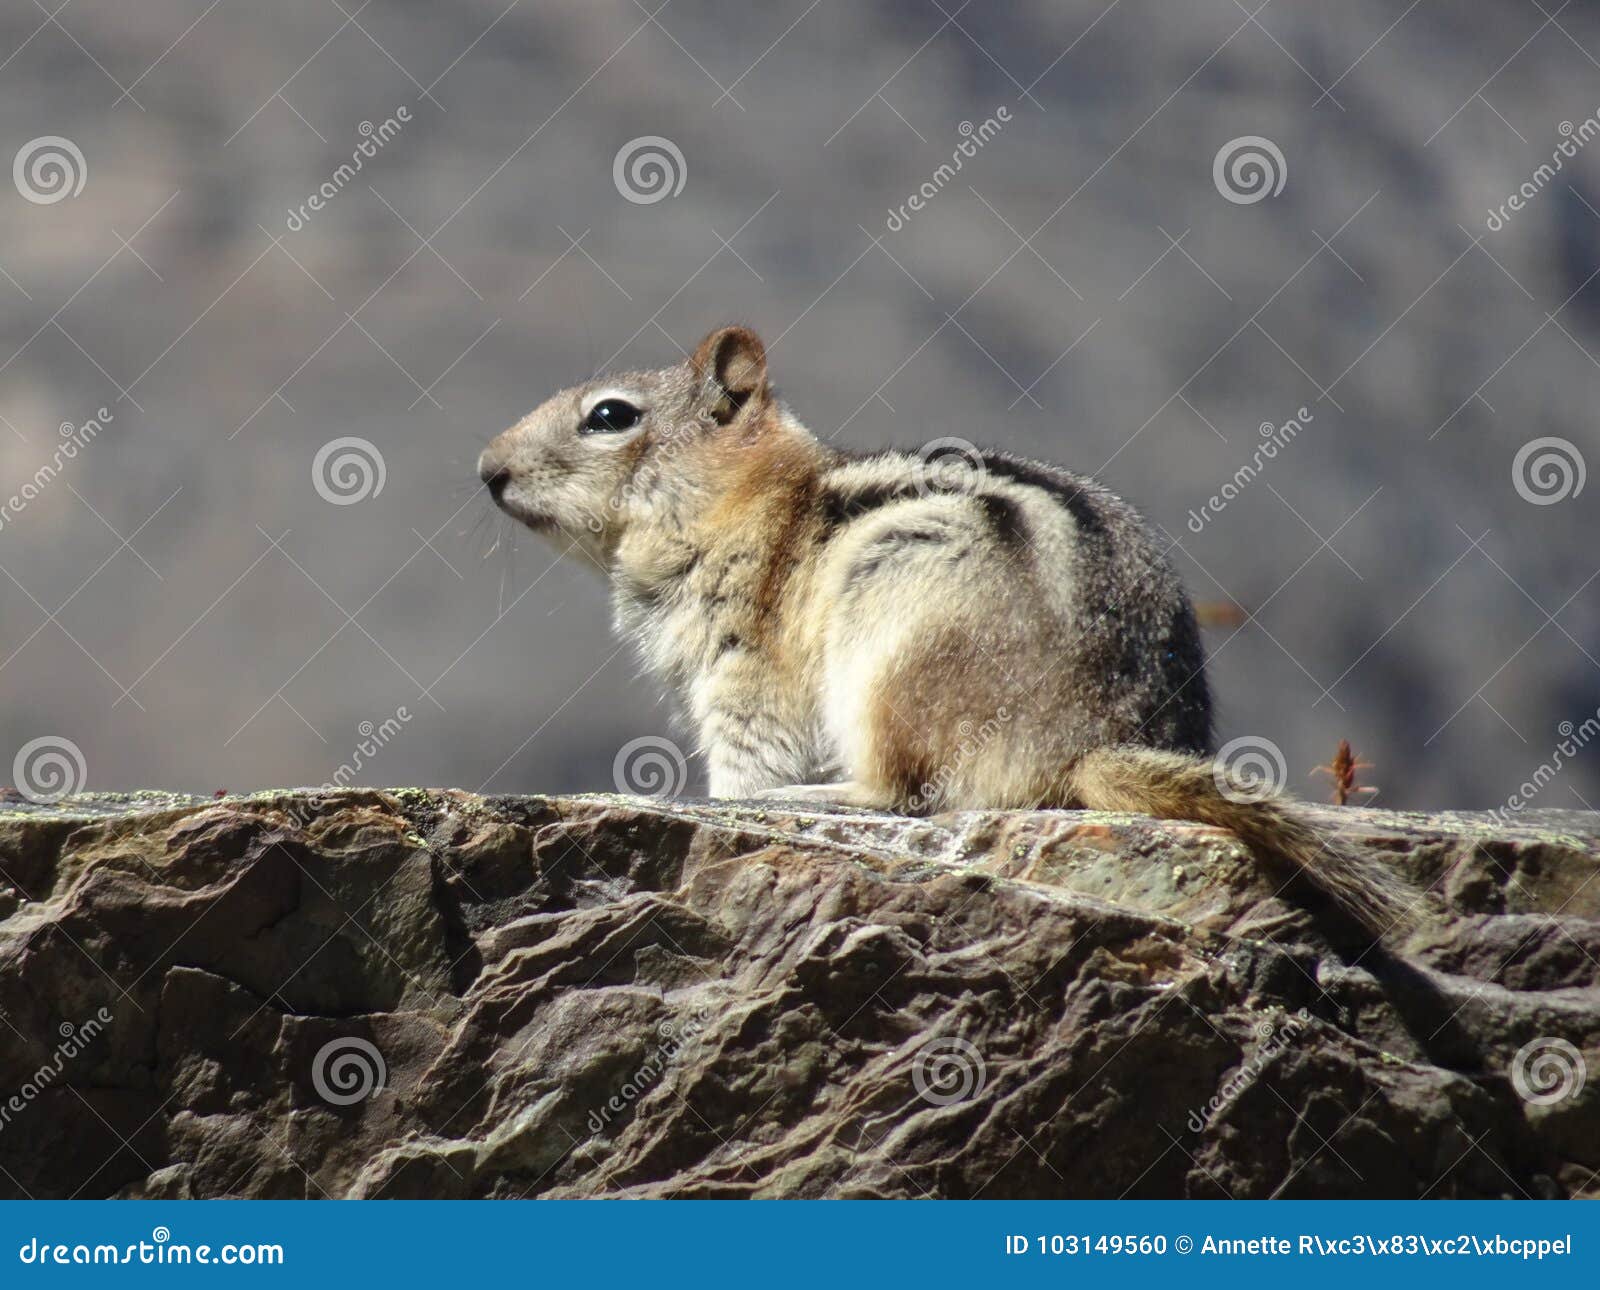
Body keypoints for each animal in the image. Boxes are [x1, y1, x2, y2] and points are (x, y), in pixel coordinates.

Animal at [479, 323, 1416, 939]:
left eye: (610, 416)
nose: (486, 470)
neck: (751, 501)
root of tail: (1091, 741)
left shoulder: (741, 665)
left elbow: (750, 752)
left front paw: (730, 797)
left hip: (892, 649)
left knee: (908, 795)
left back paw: (821, 794)